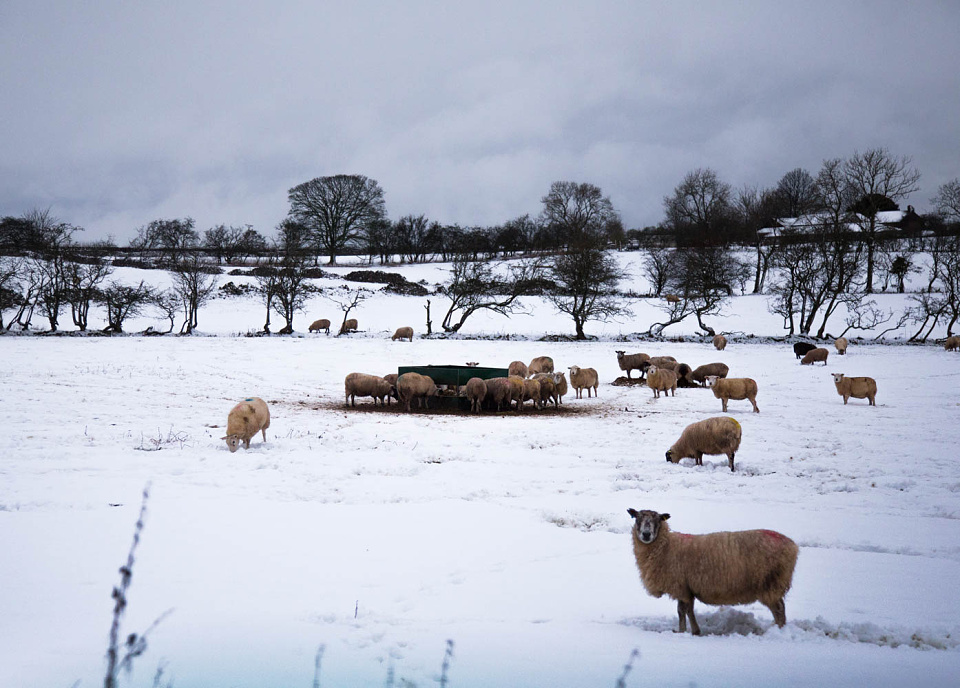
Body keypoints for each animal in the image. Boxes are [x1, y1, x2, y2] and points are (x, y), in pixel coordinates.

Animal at [626, 509, 798, 635]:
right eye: (637, 518)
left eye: (658, 520)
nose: (646, 534)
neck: (666, 546)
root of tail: (793, 546)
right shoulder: (688, 588)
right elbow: (688, 610)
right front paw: (695, 631)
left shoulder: (680, 586)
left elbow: (681, 611)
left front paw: (682, 631)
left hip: (771, 582)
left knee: (779, 610)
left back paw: (779, 630)